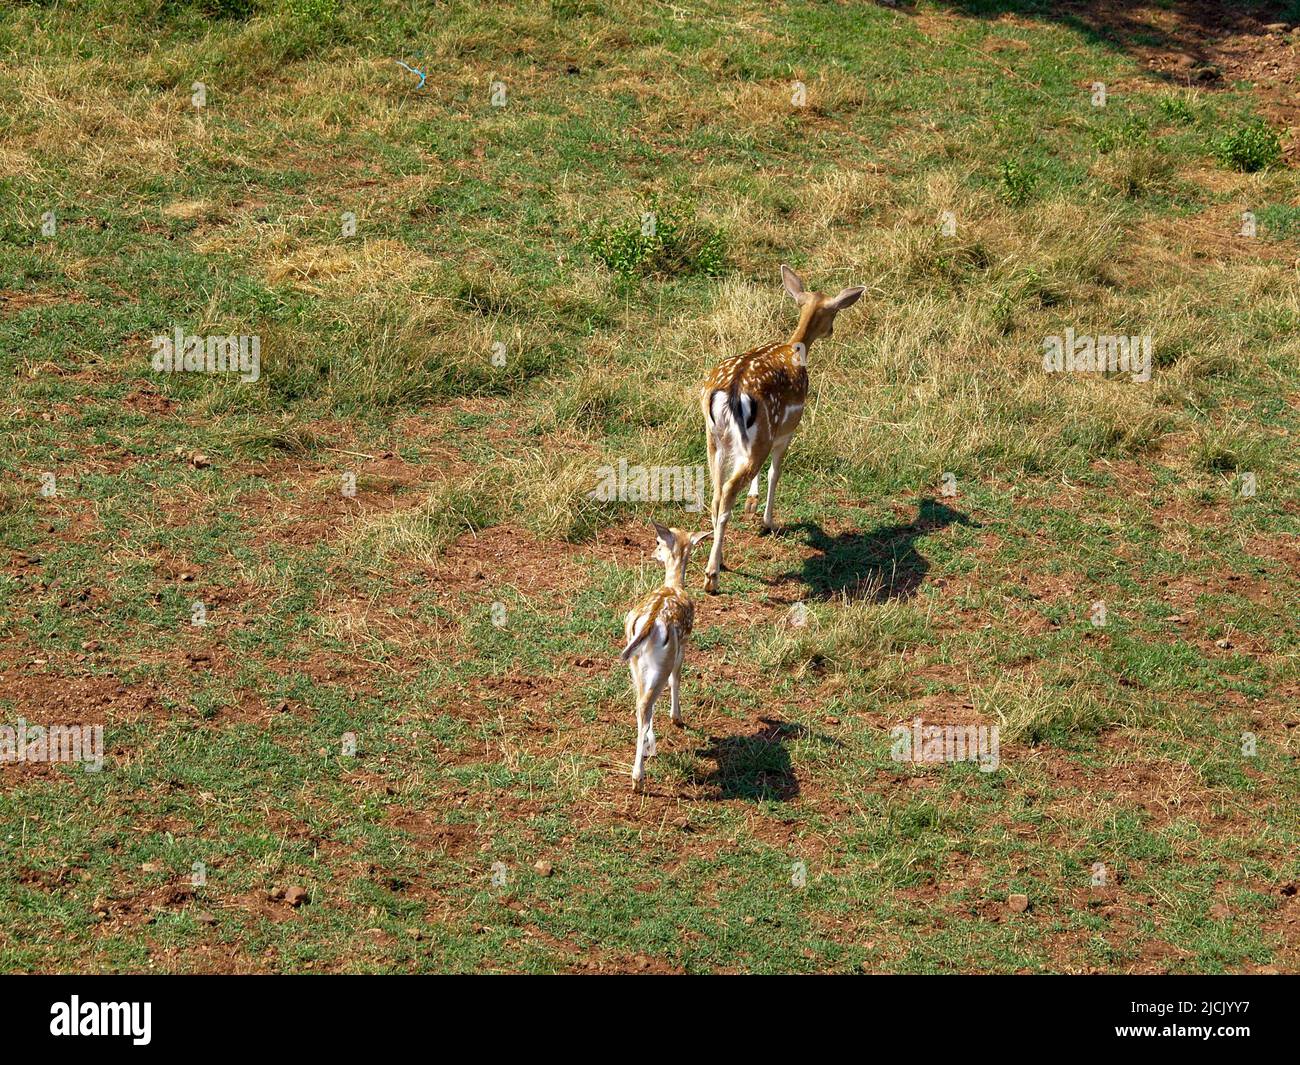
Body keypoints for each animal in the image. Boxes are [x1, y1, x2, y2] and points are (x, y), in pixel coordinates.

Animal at [619, 522, 711, 792]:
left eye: (658, 543)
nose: (653, 553)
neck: (675, 585)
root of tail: (650, 622)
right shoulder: (684, 645)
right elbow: (677, 679)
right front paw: (677, 718)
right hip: (665, 659)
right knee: (649, 700)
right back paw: (638, 777)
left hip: (634, 659)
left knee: (641, 704)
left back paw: (646, 751)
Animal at [700, 264, 864, 594]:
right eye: (834, 312)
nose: (831, 330)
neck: (794, 347)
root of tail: (731, 391)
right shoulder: (787, 431)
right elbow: (776, 472)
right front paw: (768, 521)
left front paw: (753, 504)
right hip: (760, 433)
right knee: (728, 493)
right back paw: (712, 576)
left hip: (715, 438)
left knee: (715, 493)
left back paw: (719, 559)